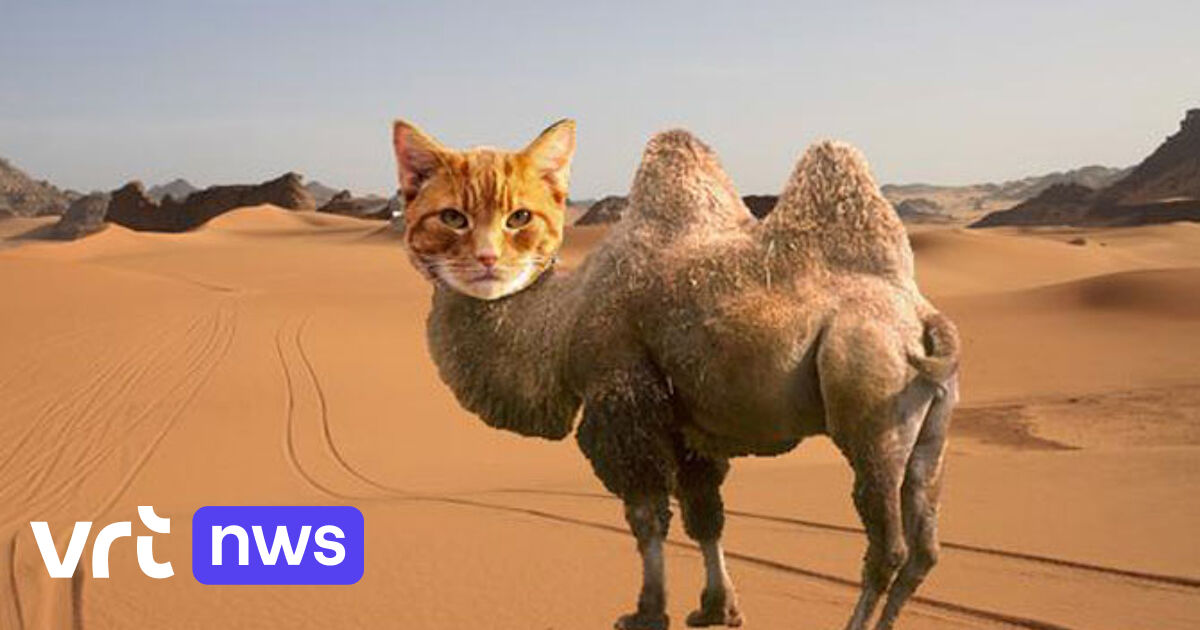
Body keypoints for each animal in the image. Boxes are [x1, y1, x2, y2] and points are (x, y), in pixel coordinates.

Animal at [397, 123, 960, 630]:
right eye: (451, 215)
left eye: (512, 215)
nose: (478, 256)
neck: (562, 319)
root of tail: (923, 319)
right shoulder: (687, 422)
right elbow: (705, 513)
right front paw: (716, 610)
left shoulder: (622, 397)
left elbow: (647, 515)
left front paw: (647, 612)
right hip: (930, 426)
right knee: (925, 545)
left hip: (870, 402)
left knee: (888, 544)